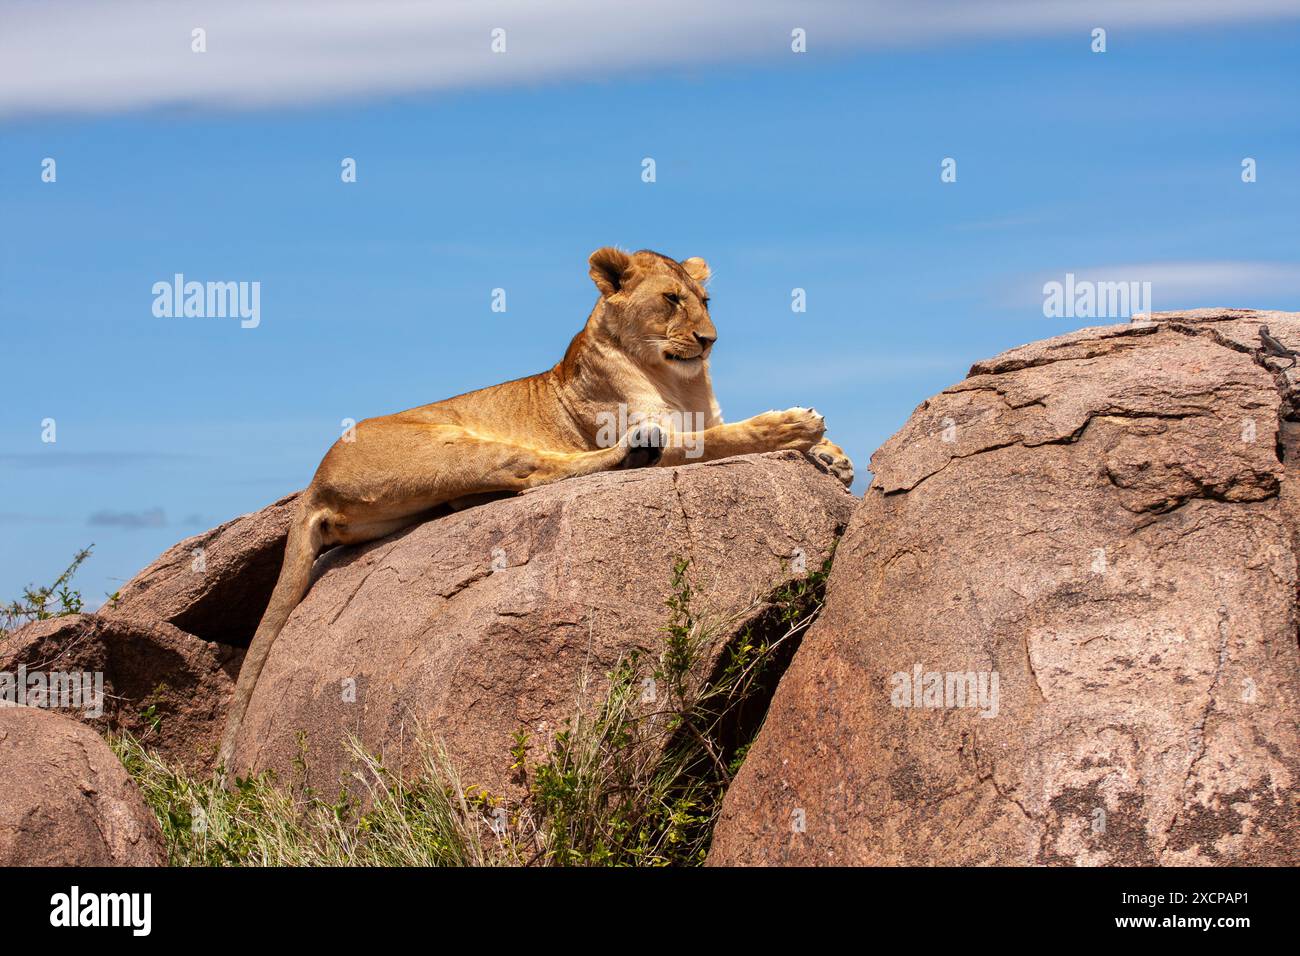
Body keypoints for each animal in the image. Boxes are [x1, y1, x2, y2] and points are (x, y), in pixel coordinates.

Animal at [216, 247, 853, 771]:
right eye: (672, 300)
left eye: (706, 301)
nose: (709, 340)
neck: (680, 380)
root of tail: (314, 482)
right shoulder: (668, 433)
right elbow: (726, 437)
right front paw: (794, 425)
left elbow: (732, 429)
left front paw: (836, 458)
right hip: (459, 443)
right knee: (537, 470)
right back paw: (631, 454)